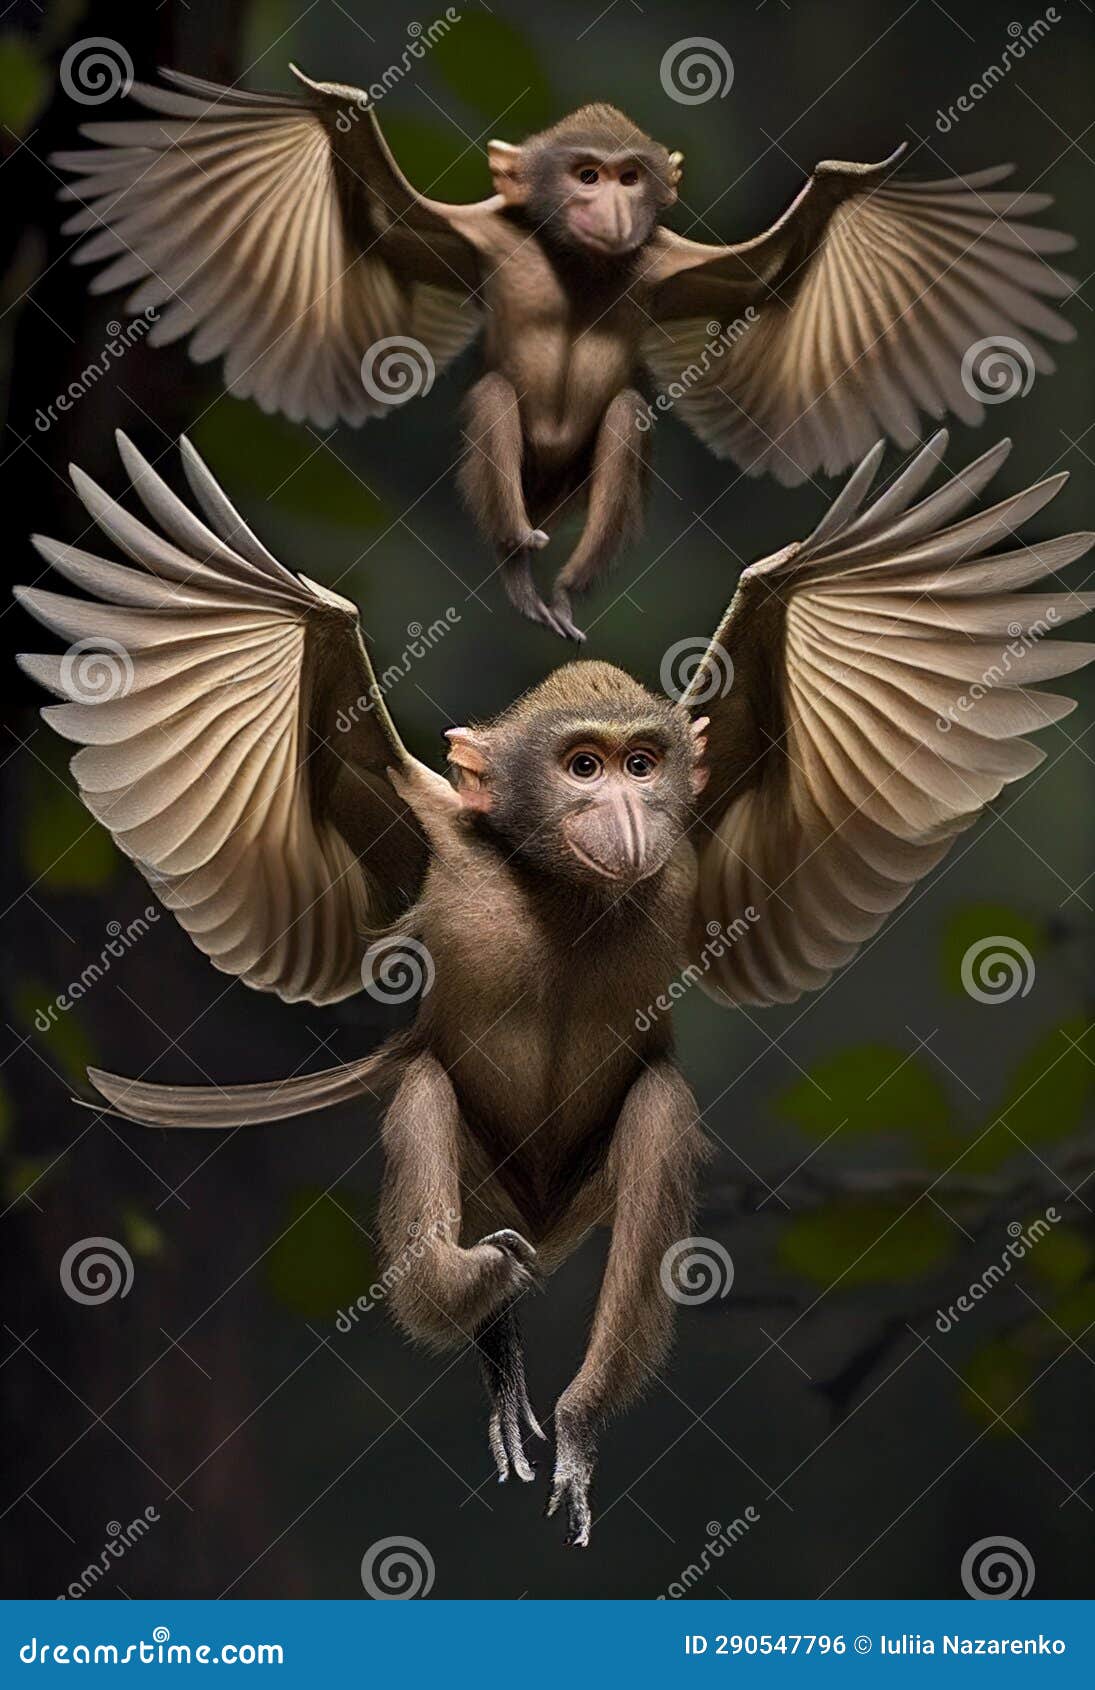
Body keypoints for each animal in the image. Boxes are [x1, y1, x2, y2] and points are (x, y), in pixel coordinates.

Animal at [16, 428, 1095, 1545]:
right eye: (582, 766)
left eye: (641, 764)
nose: (623, 815)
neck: (556, 884)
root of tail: (532, 1217)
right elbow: (322, 625)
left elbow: (775, 589)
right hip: (479, 1169)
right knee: (425, 1093)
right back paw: (472, 1293)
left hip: (576, 1190)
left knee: (657, 1111)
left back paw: (570, 1399)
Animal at [54, 68, 1075, 638]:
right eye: (583, 174)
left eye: (626, 177)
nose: (611, 205)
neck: (580, 264)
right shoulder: (469, 239)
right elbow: (361, 177)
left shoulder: (670, 269)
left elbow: (801, 233)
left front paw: (847, 188)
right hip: (523, 474)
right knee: (495, 403)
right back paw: (518, 559)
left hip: (581, 475)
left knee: (621, 417)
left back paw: (571, 582)